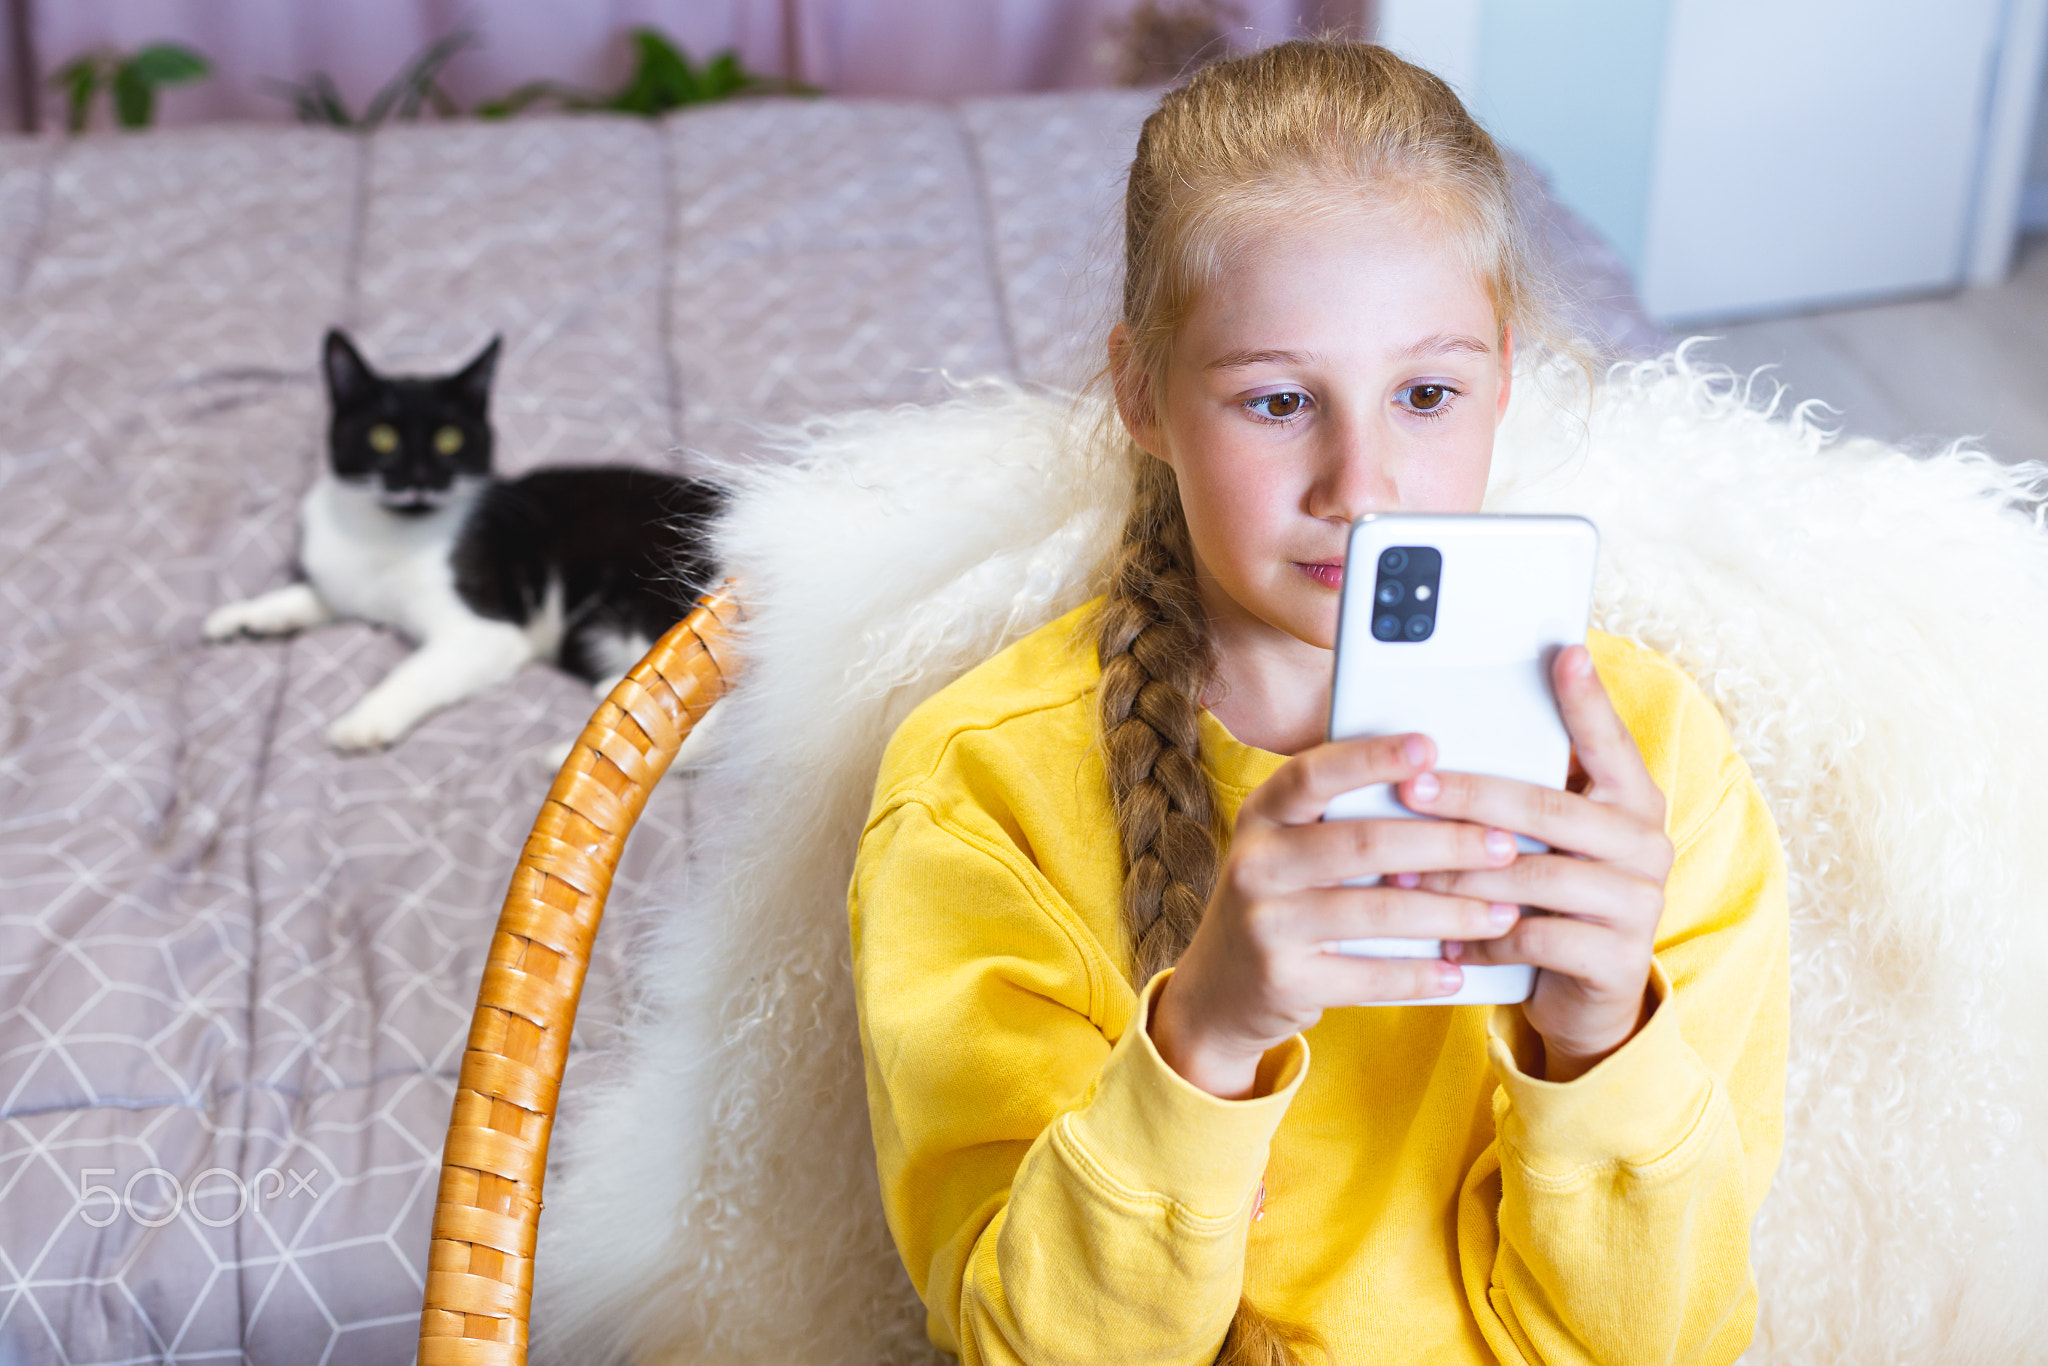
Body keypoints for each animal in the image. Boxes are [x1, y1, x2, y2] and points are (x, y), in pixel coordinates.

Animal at [207, 333, 720, 757]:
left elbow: (414, 670)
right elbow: (309, 595)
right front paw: (243, 616)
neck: (389, 531)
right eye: (382, 437)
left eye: (449, 439)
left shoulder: (487, 631)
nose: (419, 476)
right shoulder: (343, 583)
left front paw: (363, 721)